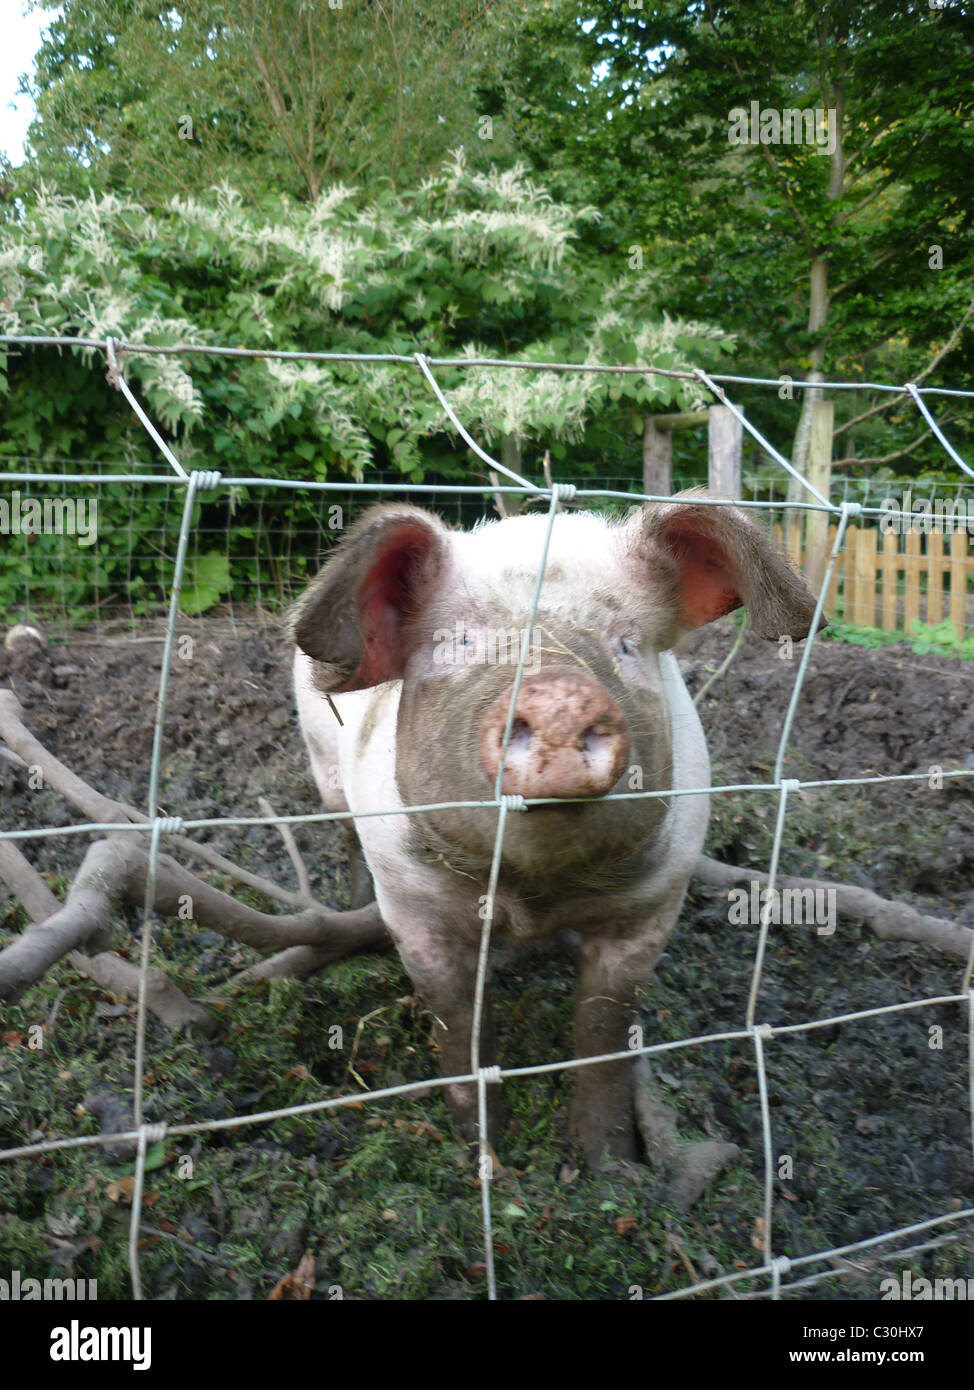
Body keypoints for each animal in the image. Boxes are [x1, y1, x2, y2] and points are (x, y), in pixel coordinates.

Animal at [289, 493, 819, 1167]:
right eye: (460, 641)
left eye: (626, 644)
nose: (558, 691)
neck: (534, 893)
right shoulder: (412, 904)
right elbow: (456, 1024)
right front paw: (481, 1152)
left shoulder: (653, 901)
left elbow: (603, 1032)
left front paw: (609, 1164)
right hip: (323, 764)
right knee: (343, 834)